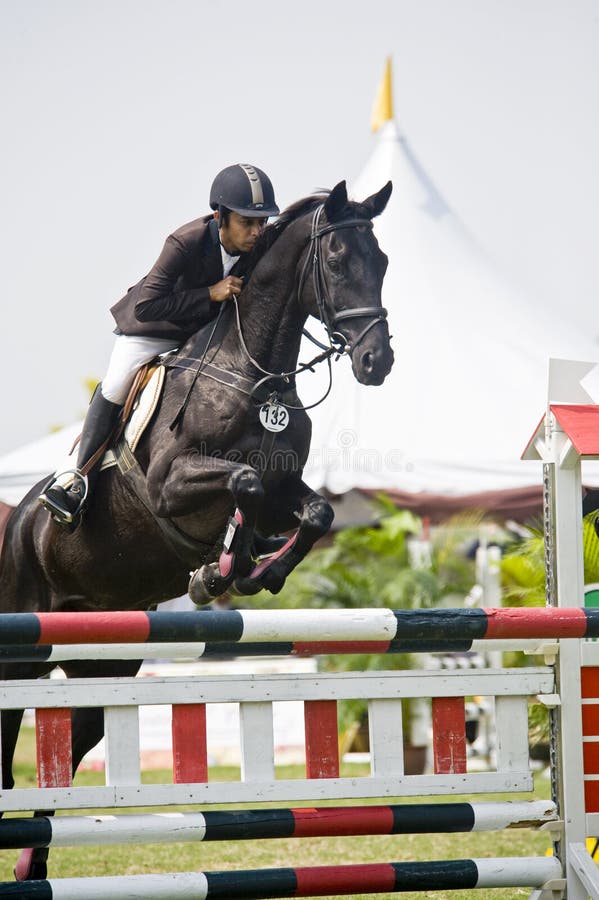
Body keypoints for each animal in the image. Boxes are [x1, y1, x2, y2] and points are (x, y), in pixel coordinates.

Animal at [0, 179, 394, 880]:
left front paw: (253, 570)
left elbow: (309, 512)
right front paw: (218, 571)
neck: (255, 372)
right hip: (21, 643)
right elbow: (244, 481)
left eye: (384, 262)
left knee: (65, 752)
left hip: (103, 662)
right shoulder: (170, 484)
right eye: (338, 259)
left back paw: (32, 866)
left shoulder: (287, 489)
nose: (378, 361)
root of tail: (18, 520)